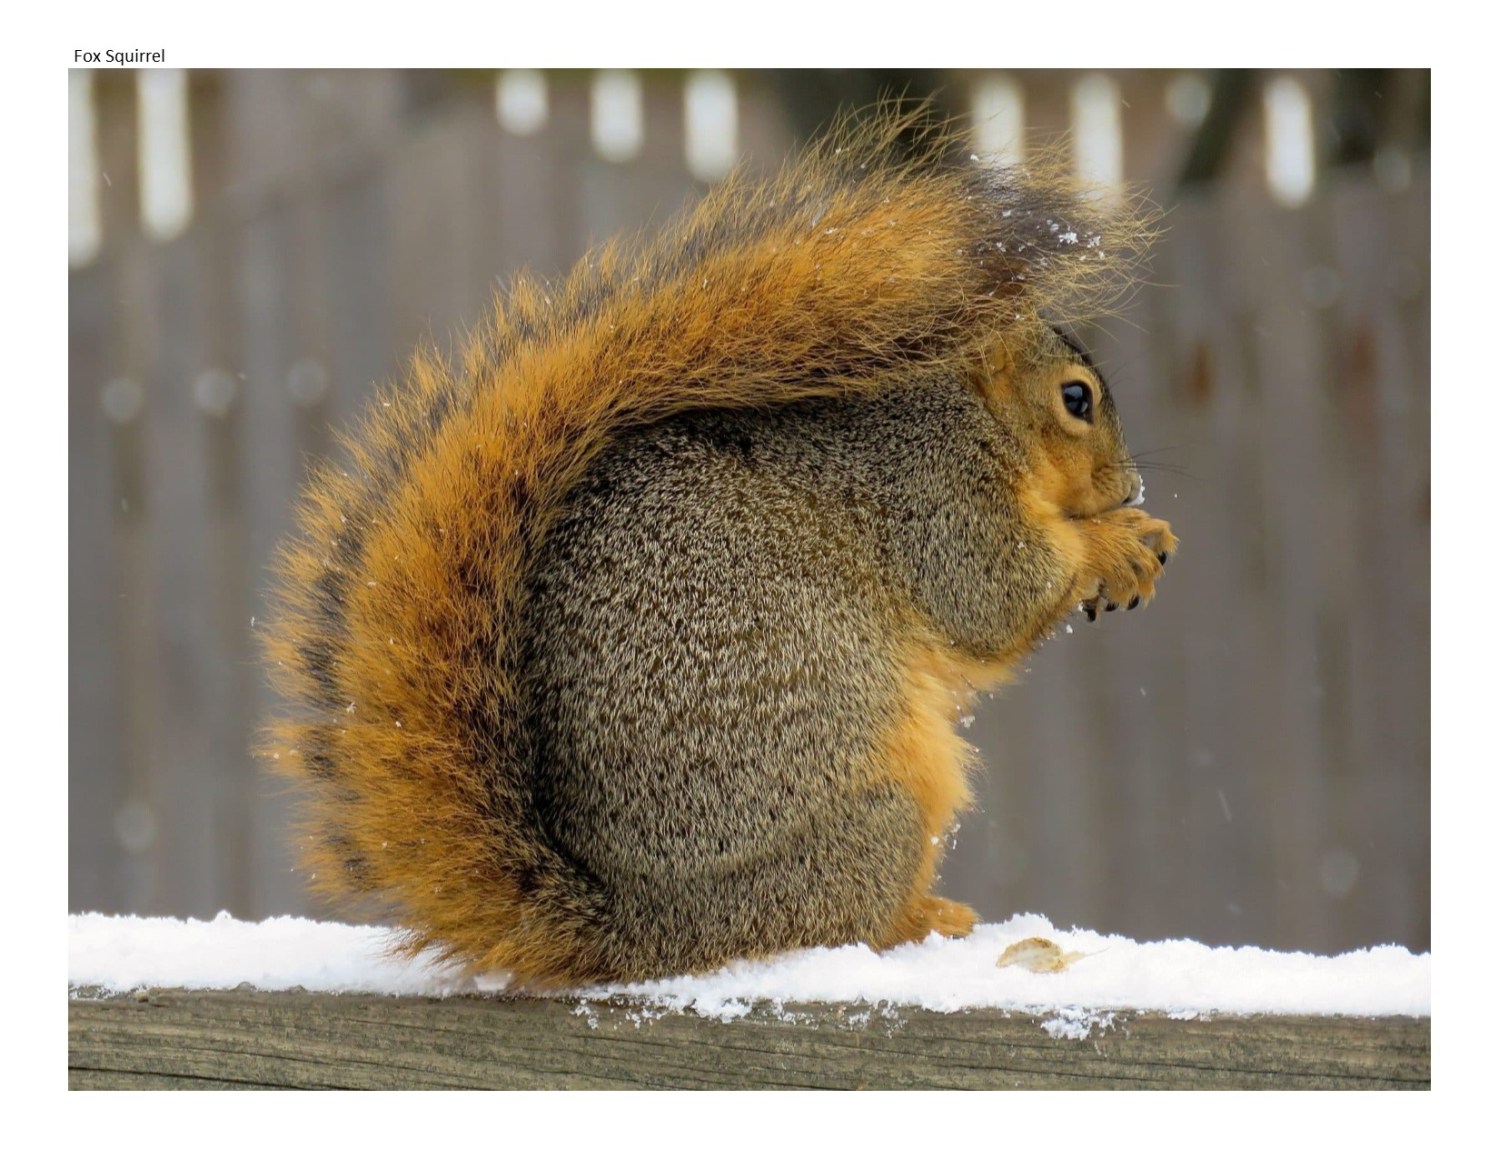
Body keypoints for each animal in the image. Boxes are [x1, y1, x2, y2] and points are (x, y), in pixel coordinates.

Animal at [261, 108, 1175, 986]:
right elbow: (992, 594)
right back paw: (923, 916)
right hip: (871, 818)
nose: (1131, 488)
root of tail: (644, 930)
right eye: (1075, 399)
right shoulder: (934, 492)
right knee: (834, 919)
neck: (970, 412)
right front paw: (1117, 544)